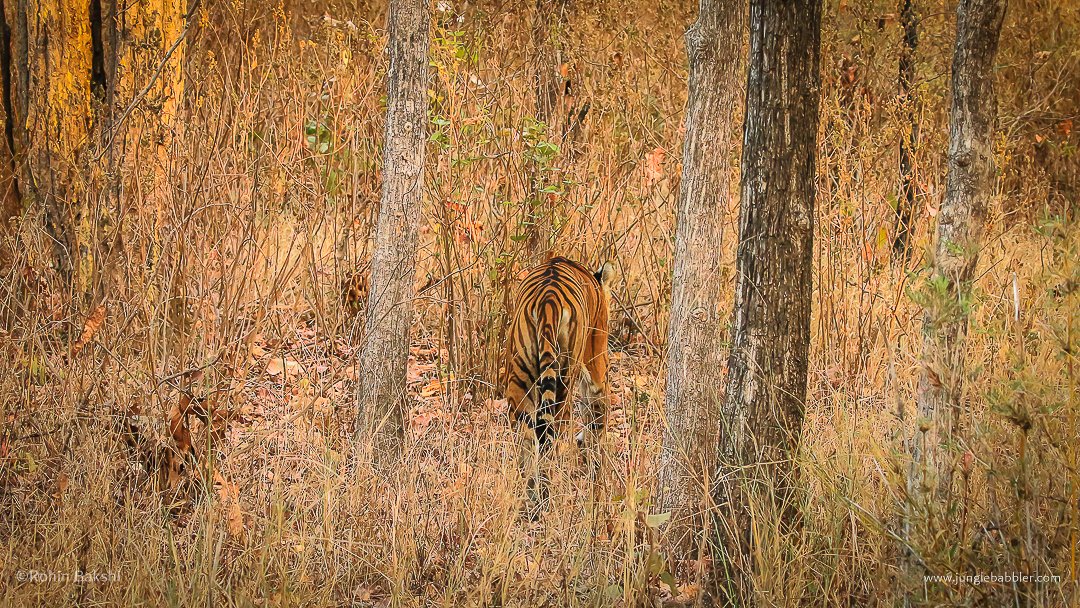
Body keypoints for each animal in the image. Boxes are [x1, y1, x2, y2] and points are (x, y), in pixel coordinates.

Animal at [503, 253, 615, 490]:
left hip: (519, 382)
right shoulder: (597, 362)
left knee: (527, 445)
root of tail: (548, 300)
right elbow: (598, 412)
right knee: (550, 441)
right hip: (564, 380)